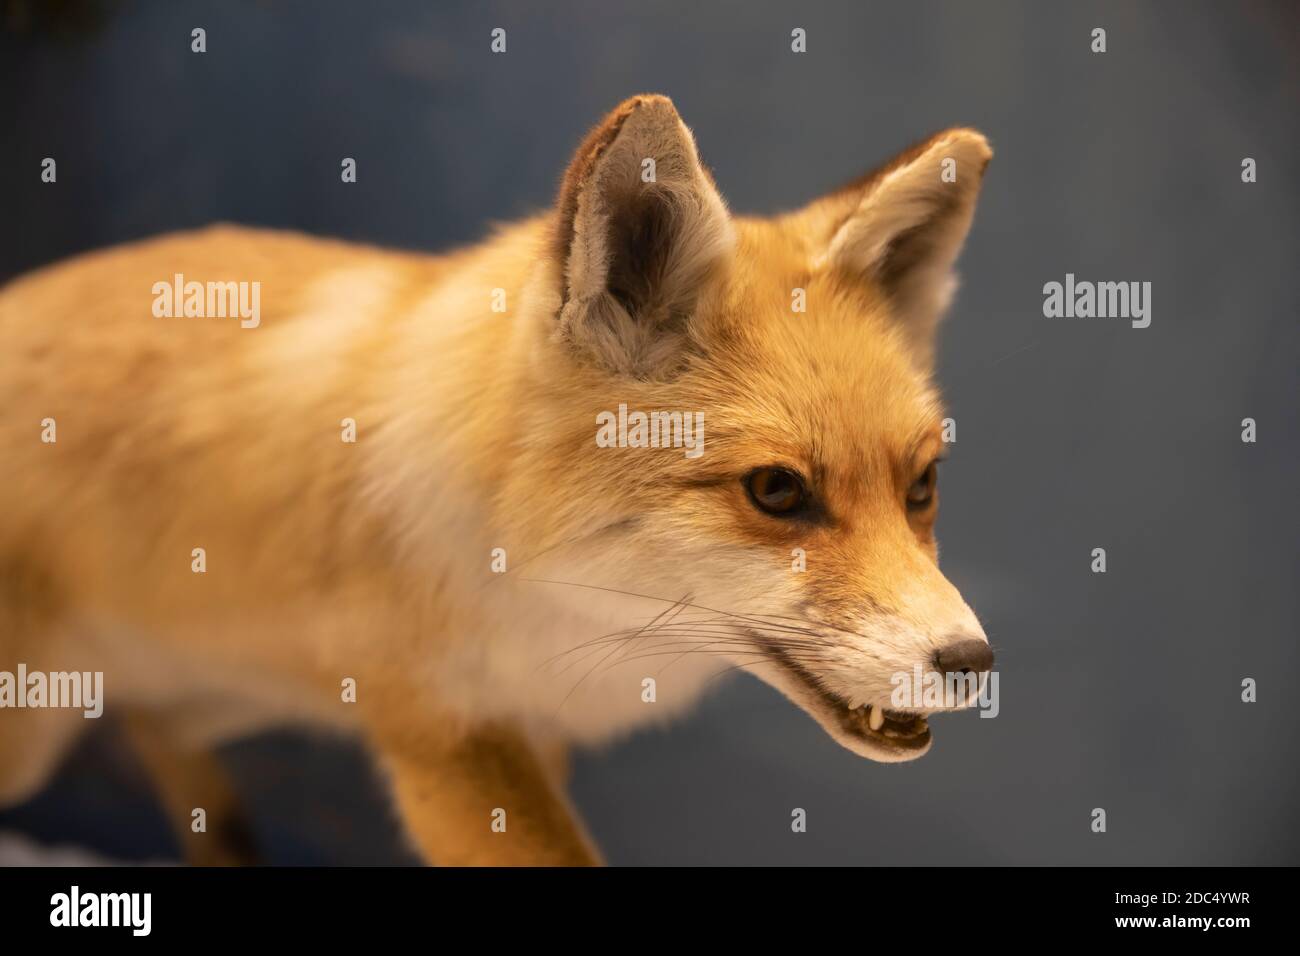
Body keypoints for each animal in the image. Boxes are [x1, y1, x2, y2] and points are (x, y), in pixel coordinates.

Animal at [0, 94, 994, 866]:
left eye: (922, 486)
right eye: (778, 492)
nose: (972, 663)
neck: (541, 599)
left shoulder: (532, 733)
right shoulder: (443, 735)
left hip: (213, 698)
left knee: (151, 734)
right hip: (39, 731)